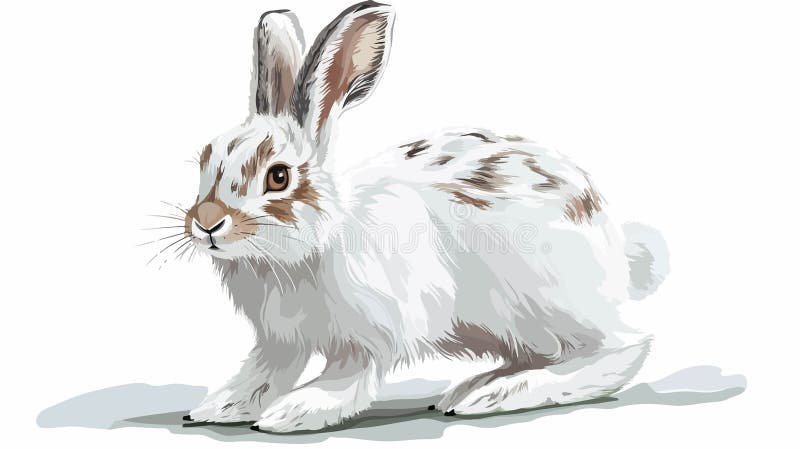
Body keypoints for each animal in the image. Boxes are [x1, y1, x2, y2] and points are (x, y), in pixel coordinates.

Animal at [176, 1, 670, 433]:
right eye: (205, 159)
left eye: (278, 176)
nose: (206, 222)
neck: (311, 243)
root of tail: (618, 255)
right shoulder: (280, 341)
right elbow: (264, 372)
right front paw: (222, 406)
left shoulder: (373, 331)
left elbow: (350, 375)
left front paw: (297, 411)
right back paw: (474, 388)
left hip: (541, 305)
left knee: (620, 350)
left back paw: (497, 394)